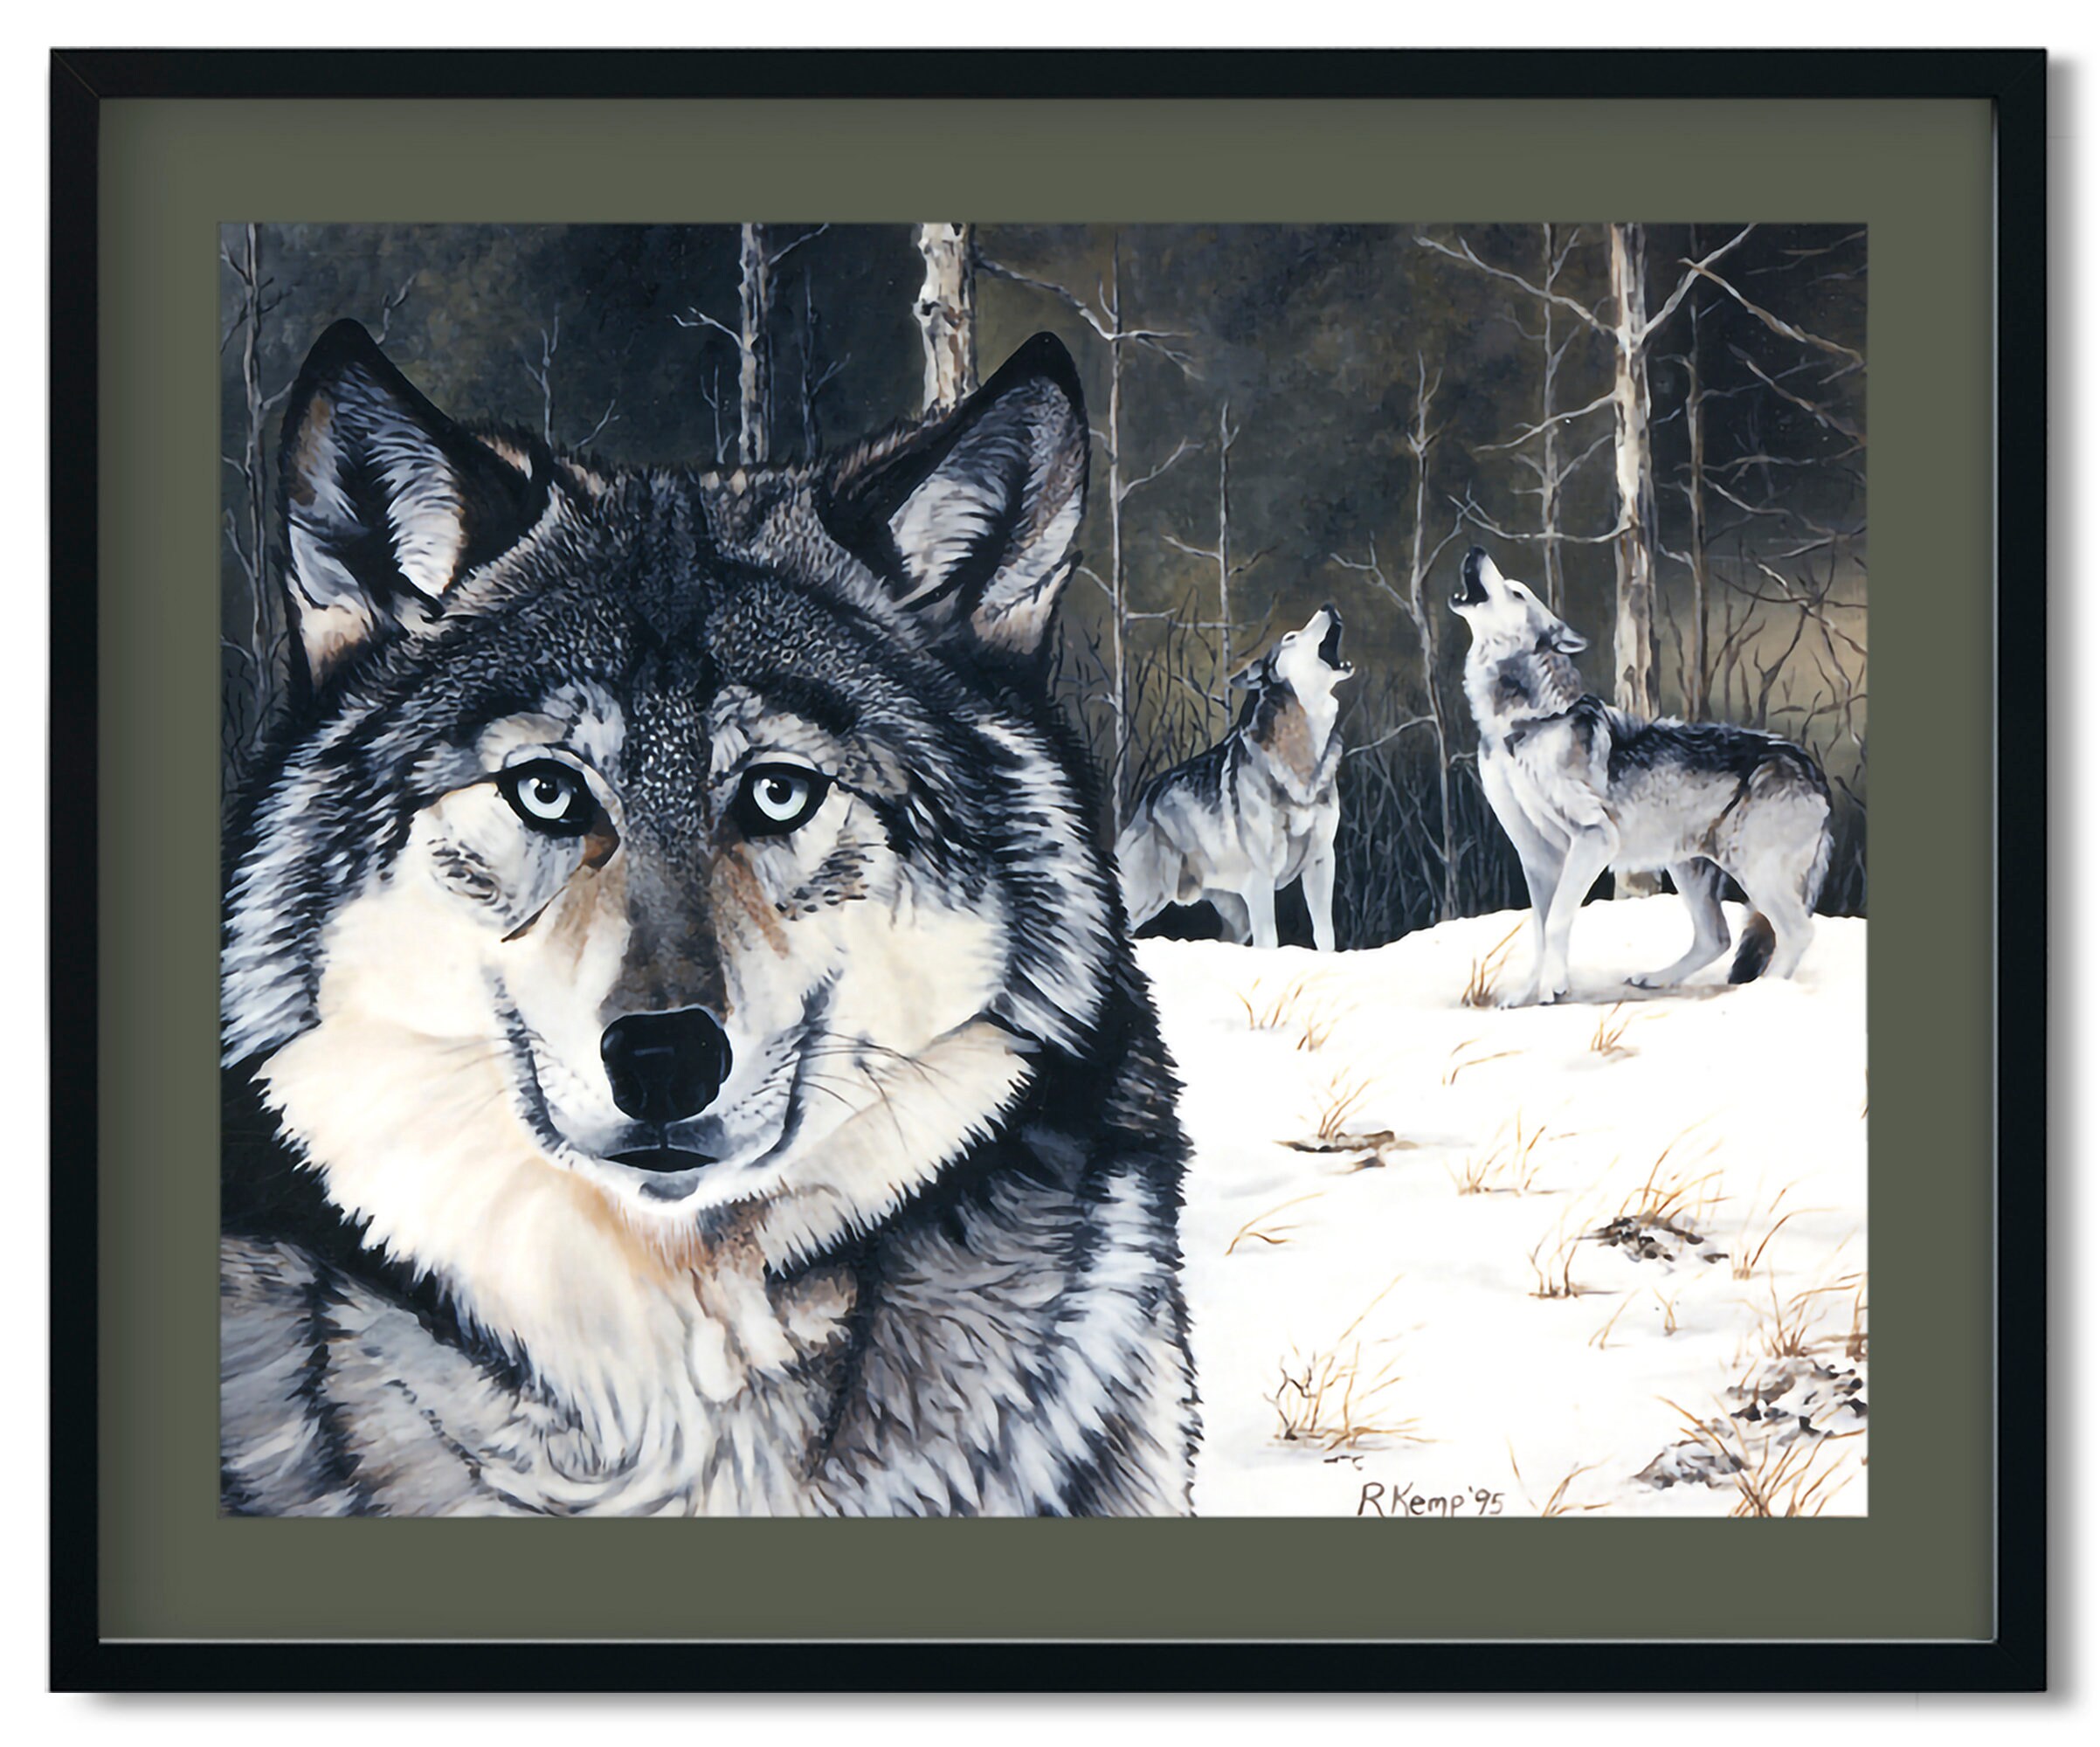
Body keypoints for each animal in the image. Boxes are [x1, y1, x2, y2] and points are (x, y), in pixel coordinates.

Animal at [1114, 605, 1354, 951]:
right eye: (1290, 637)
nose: (1329, 606)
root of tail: (1147, 799)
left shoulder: (1321, 863)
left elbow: (1325, 935)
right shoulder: (1262, 879)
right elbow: (1271, 942)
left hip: (1237, 918)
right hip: (1147, 898)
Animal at [1450, 547, 1832, 1005]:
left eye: (1516, 592)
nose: (1475, 551)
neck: (1523, 725)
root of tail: (1810, 766)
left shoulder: (1594, 838)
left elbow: (1557, 920)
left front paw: (1552, 988)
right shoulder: (1537, 857)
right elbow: (1540, 931)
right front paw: (1527, 994)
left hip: (1752, 870)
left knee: (1797, 932)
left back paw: (1764, 991)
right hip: (1689, 867)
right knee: (1717, 937)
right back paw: (1657, 977)